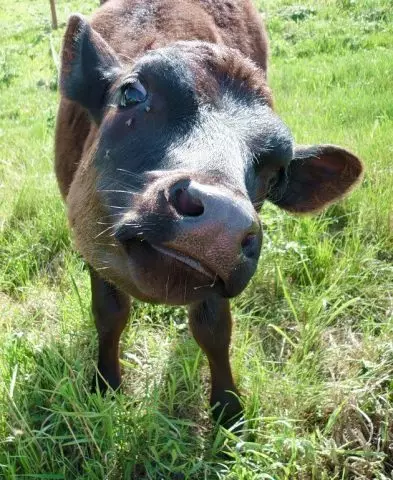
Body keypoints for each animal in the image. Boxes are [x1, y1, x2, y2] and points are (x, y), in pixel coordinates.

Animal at [55, 0, 362, 428]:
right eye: (131, 92)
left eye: (277, 172)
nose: (221, 222)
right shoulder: (91, 245)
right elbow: (109, 313)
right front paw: (105, 383)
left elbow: (215, 330)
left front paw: (228, 409)